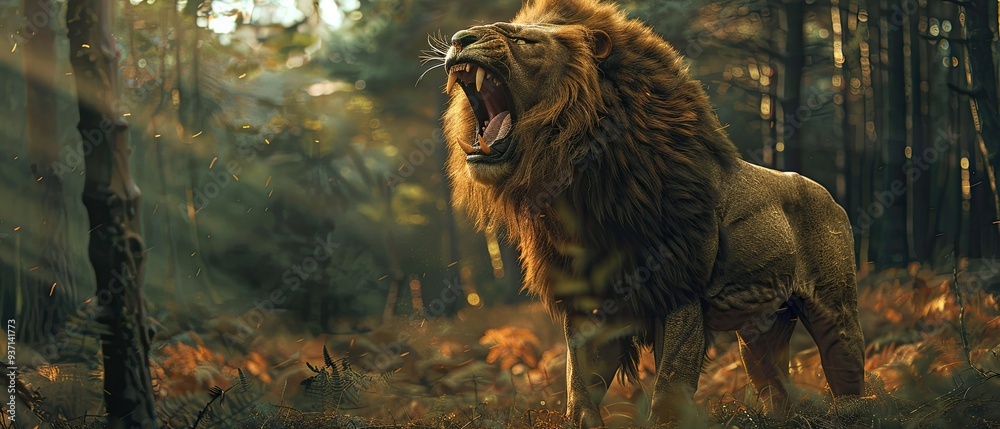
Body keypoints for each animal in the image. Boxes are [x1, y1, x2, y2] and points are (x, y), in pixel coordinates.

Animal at [439, 0, 865, 426]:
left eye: (523, 40)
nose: (458, 39)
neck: (579, 184)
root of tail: (831, 197)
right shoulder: (589, 300)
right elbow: (579, 383)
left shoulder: (679, 289)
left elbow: (670, 384)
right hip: (761, 329)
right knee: (775, 383)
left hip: (836, 309)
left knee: (847, 367)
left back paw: (851, 411)